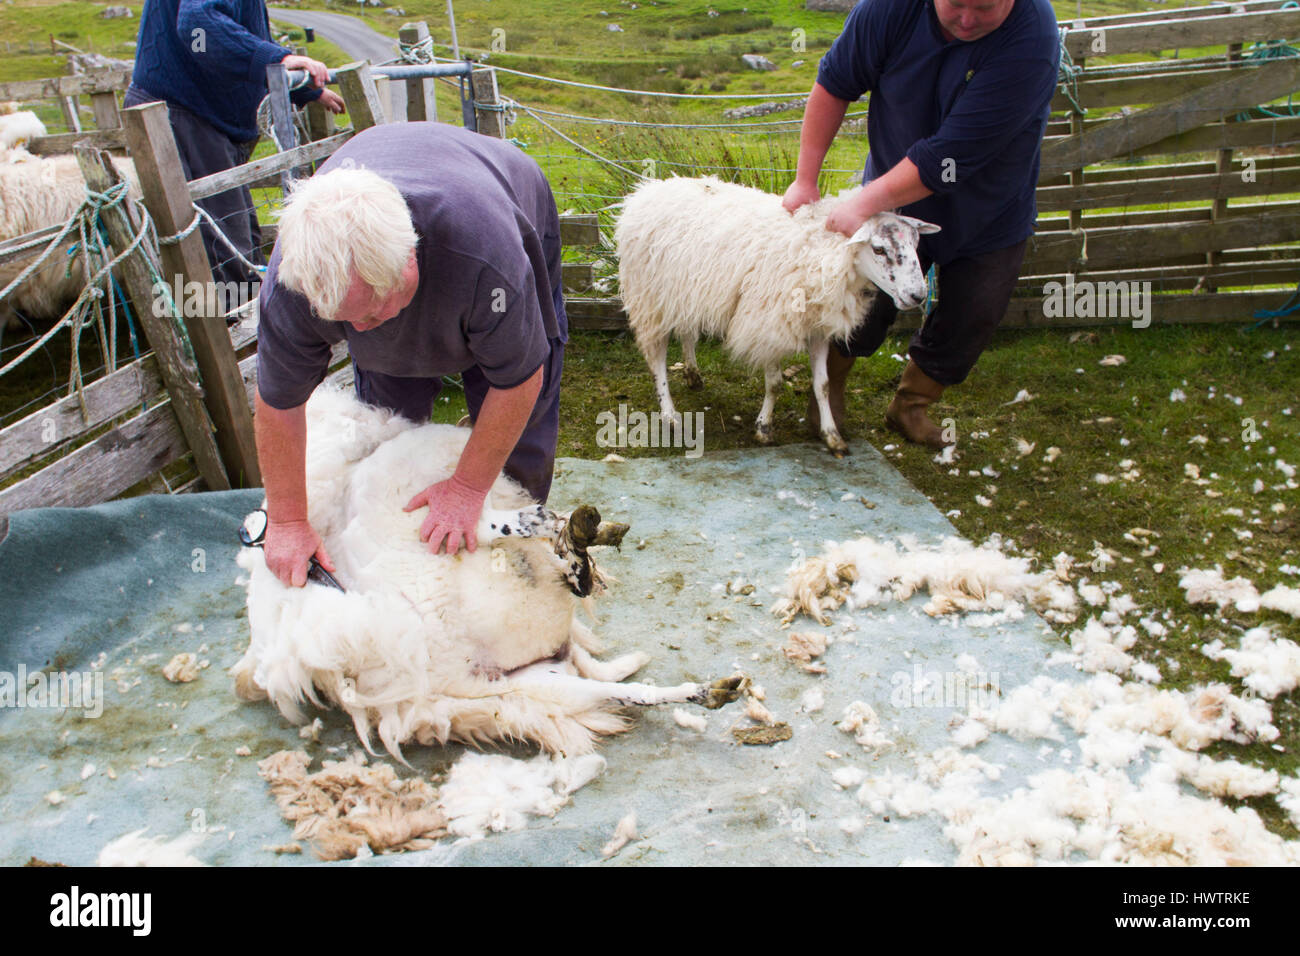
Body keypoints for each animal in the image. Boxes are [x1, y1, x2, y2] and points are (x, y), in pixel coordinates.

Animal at [233, 385, 746, 761]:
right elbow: (500, 523)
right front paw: (566, 535)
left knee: (621, 687)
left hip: (533, 680)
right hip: (510, 668)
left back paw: (708, 689)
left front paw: (576, 548)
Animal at [615, 175, 937, 456]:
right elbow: (775, 383)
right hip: (650, 296)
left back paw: (693, 374)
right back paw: (669, 413)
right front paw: (764, 427)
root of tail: (645, 192)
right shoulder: (768, 324)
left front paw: (832, 435)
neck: (821, 253)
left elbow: (823, 384)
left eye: (915, 245)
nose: (918, 295)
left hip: (685, 291)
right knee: (657, 354)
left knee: (687, 332)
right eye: (879, 249)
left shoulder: (818, 326)